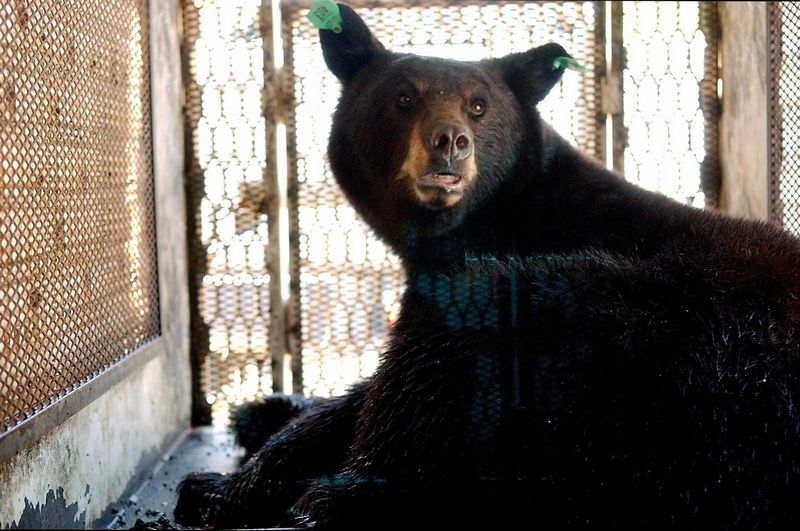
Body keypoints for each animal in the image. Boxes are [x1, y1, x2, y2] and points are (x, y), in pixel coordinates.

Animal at [174, 4, 800, 529]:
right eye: (404, 98)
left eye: (478, 105)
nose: (449, 140)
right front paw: (266, 410)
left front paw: (237, 480)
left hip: (632, 335)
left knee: (435, 368)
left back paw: (324, 493)